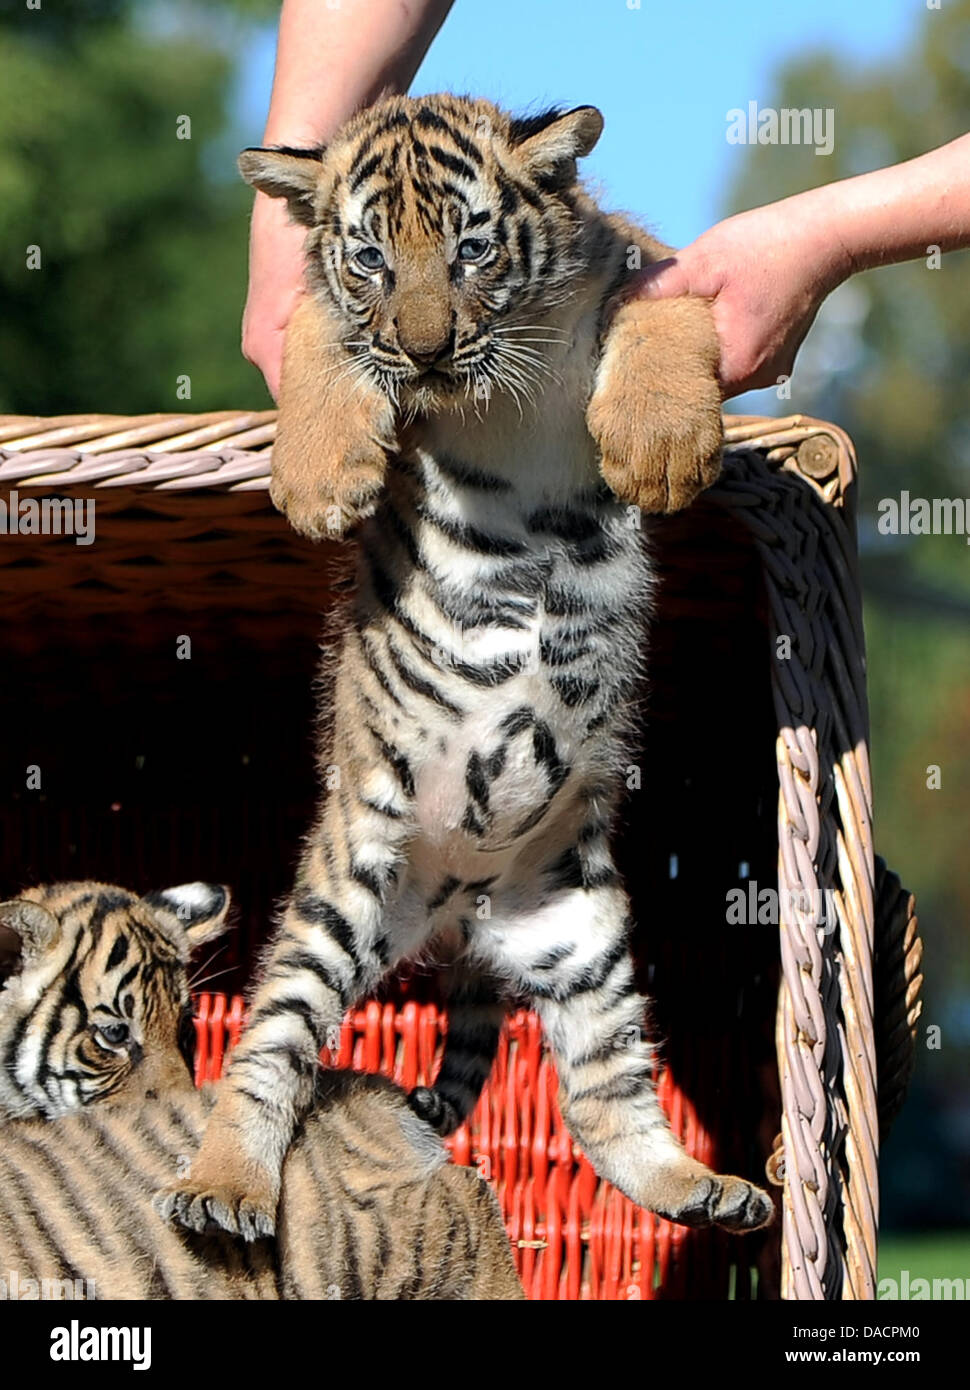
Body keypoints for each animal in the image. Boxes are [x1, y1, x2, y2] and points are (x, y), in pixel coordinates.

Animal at [159, 92, 774, 1243]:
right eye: (370, 259)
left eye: (472, 249)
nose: (427, 348)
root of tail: (462, 905)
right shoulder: (341, 318)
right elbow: (317, 333)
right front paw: (319, 476)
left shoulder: (642, 270)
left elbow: (673, 317)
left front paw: (660, 448)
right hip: (345, 897)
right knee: (268, 1050)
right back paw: (221, 1189)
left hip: (582, 932)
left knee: (607, 1095)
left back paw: (701, 1186)